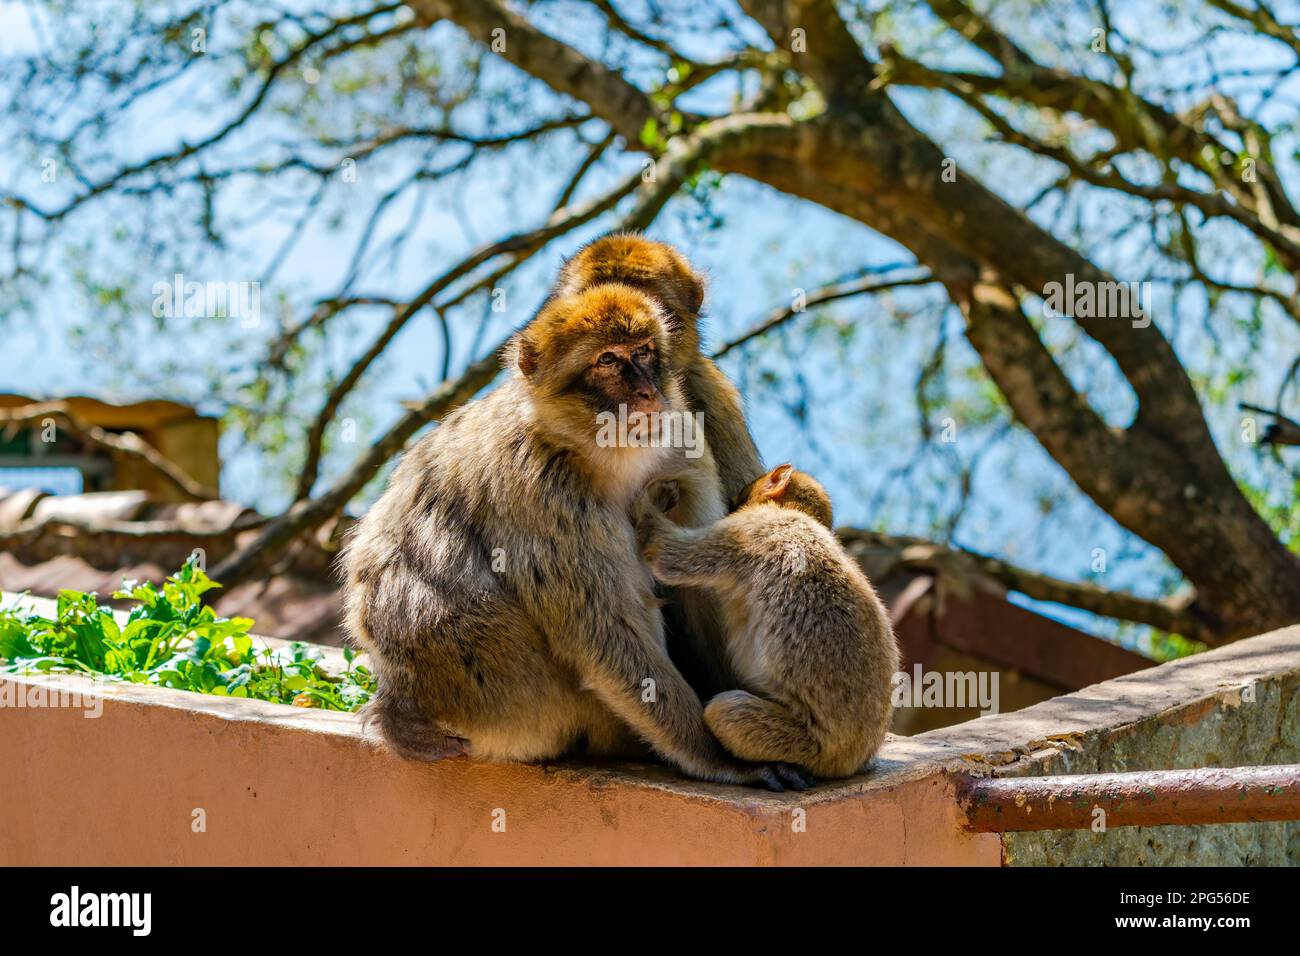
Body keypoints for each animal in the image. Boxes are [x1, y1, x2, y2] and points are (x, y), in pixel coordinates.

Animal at [341, 282, 808, 791]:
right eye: (607, 360)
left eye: (643, 352)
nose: (646, 392)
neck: (605, 454)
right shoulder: (544, 486)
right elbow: (602, 634)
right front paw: (721, 758)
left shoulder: (682, 446)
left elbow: (703, 587)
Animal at [632, 464, 900, 778]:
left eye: (738, 499)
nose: (731, 504)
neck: (793, 513)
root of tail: (848, 760)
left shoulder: (748, 528)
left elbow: (667, 555)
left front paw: (653, 500)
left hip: (807, 746)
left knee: (726, 711)